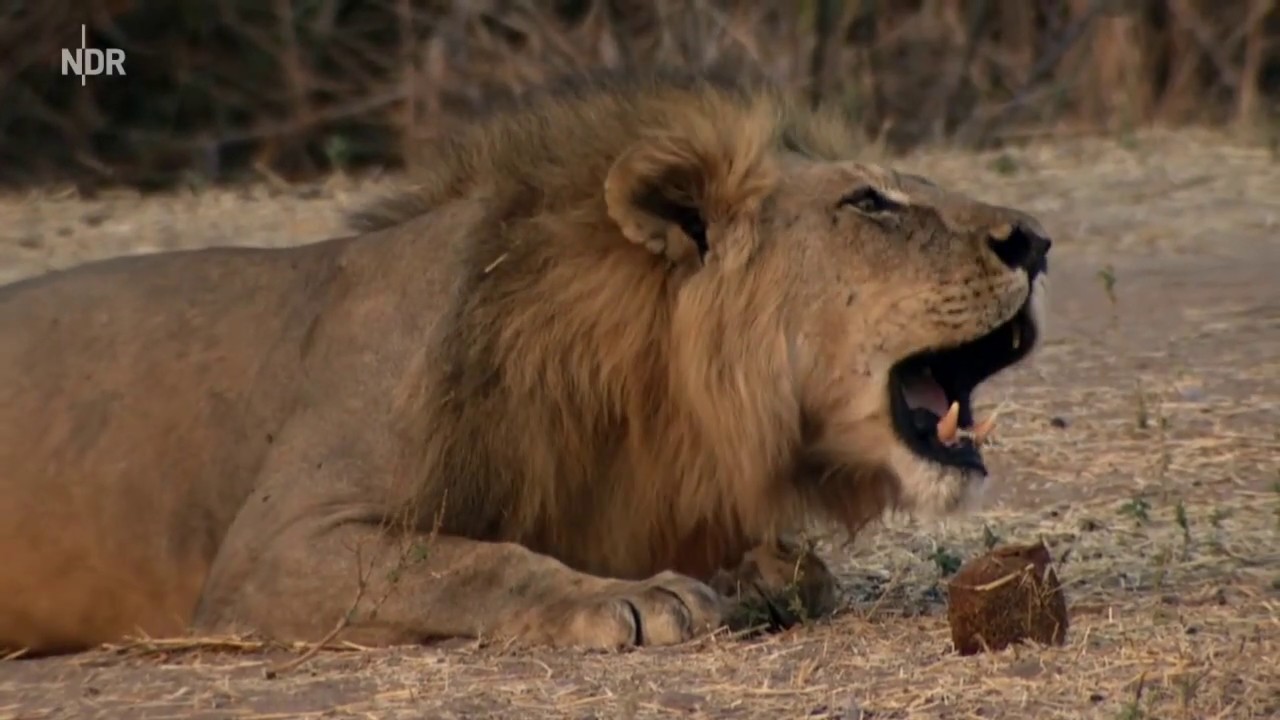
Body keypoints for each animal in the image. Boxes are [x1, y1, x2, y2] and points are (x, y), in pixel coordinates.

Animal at [0, 69, 1051, 655]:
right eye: (869, 203)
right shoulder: (269, 552)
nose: (1038, 243)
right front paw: (633, 598)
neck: (646, 391)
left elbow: (801, 567)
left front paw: (755, 574)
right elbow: (463, 560)